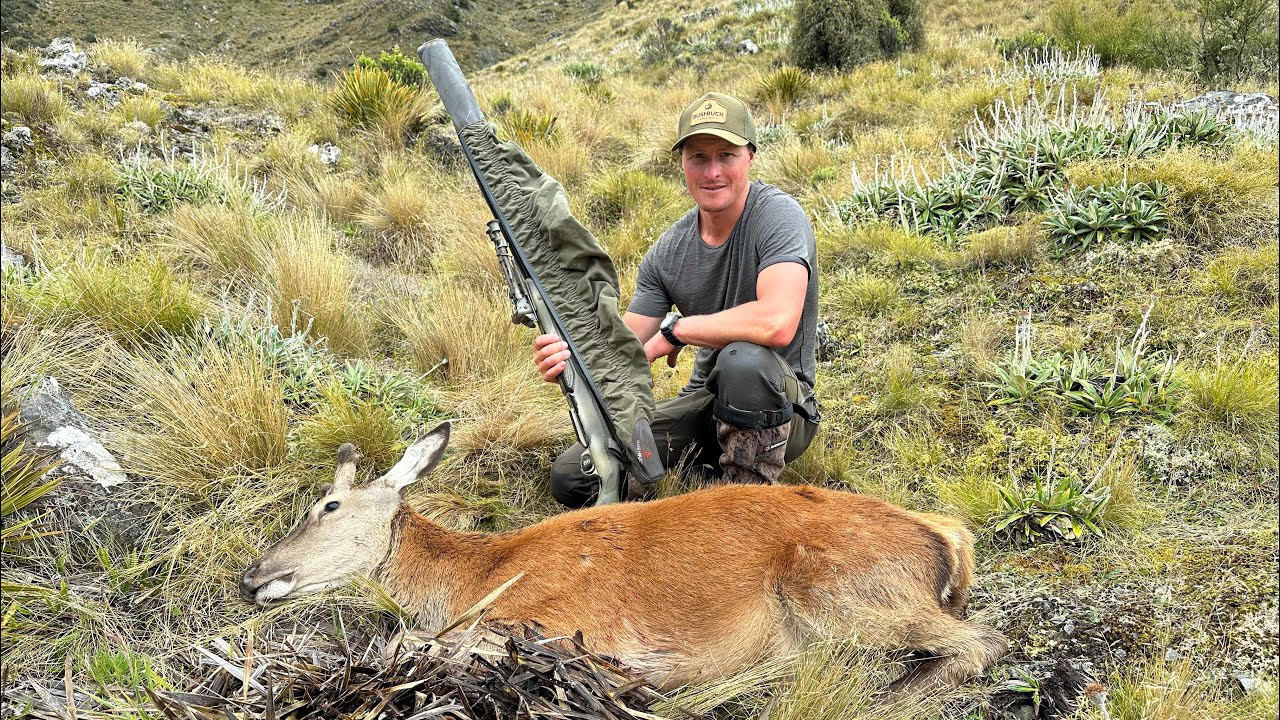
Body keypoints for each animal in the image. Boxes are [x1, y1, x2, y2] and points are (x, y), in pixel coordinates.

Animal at [241, 422, 1006, 692]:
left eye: (327, 506)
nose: (253, 575)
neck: (472, 579)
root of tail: (946, 539)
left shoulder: (547, 625)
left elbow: (406, 644)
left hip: (843, 593)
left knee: (980, 642)